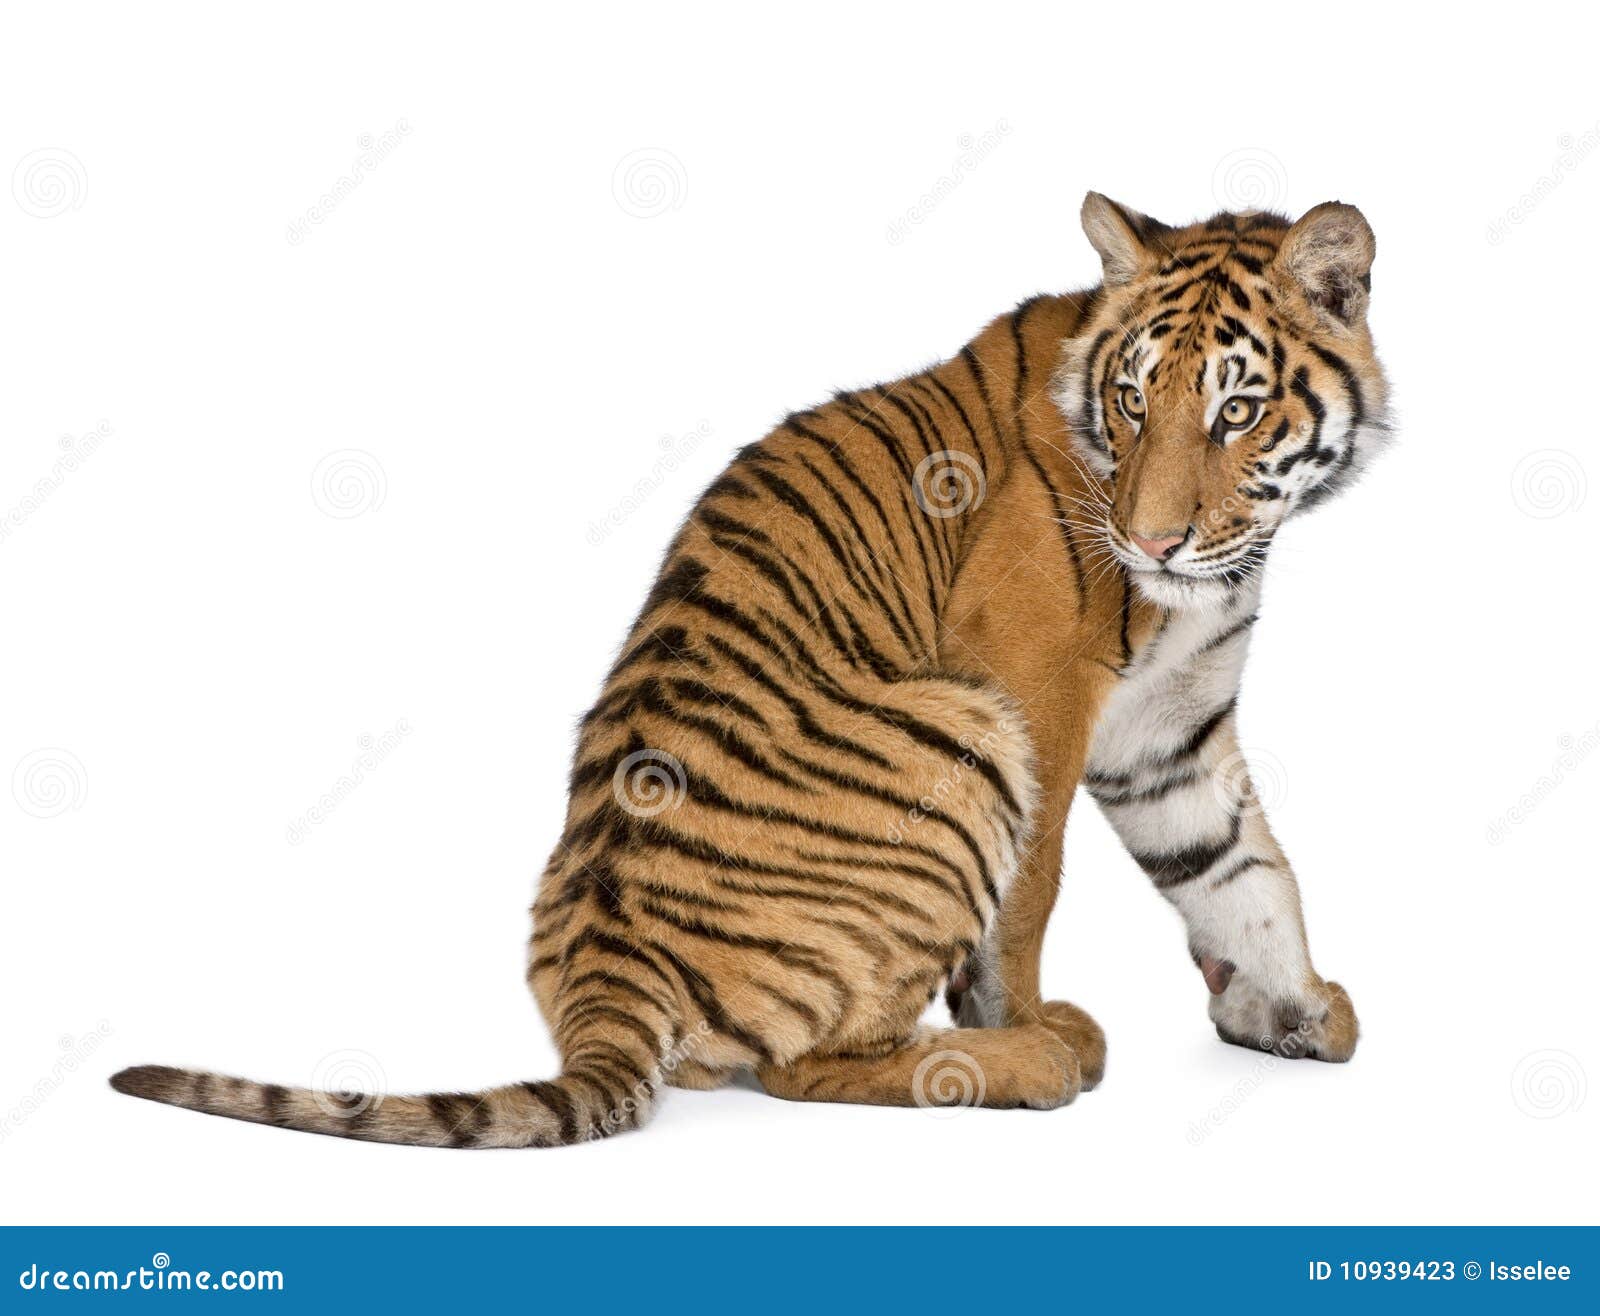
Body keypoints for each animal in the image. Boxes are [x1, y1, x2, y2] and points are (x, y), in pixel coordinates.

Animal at [112, 193, 1388, 1146]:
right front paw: (1026, 1011)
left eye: (1234, 411)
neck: (1221, 565)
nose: (1153, 543)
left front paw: (1294, 1007)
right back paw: (1032, 1053)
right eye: (1130, 403)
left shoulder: (1169, 727)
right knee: (803, 1067)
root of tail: (601, 979)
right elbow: (1033, 896)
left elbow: (1244, 869)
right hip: (959, 730)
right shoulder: (1036, 687)